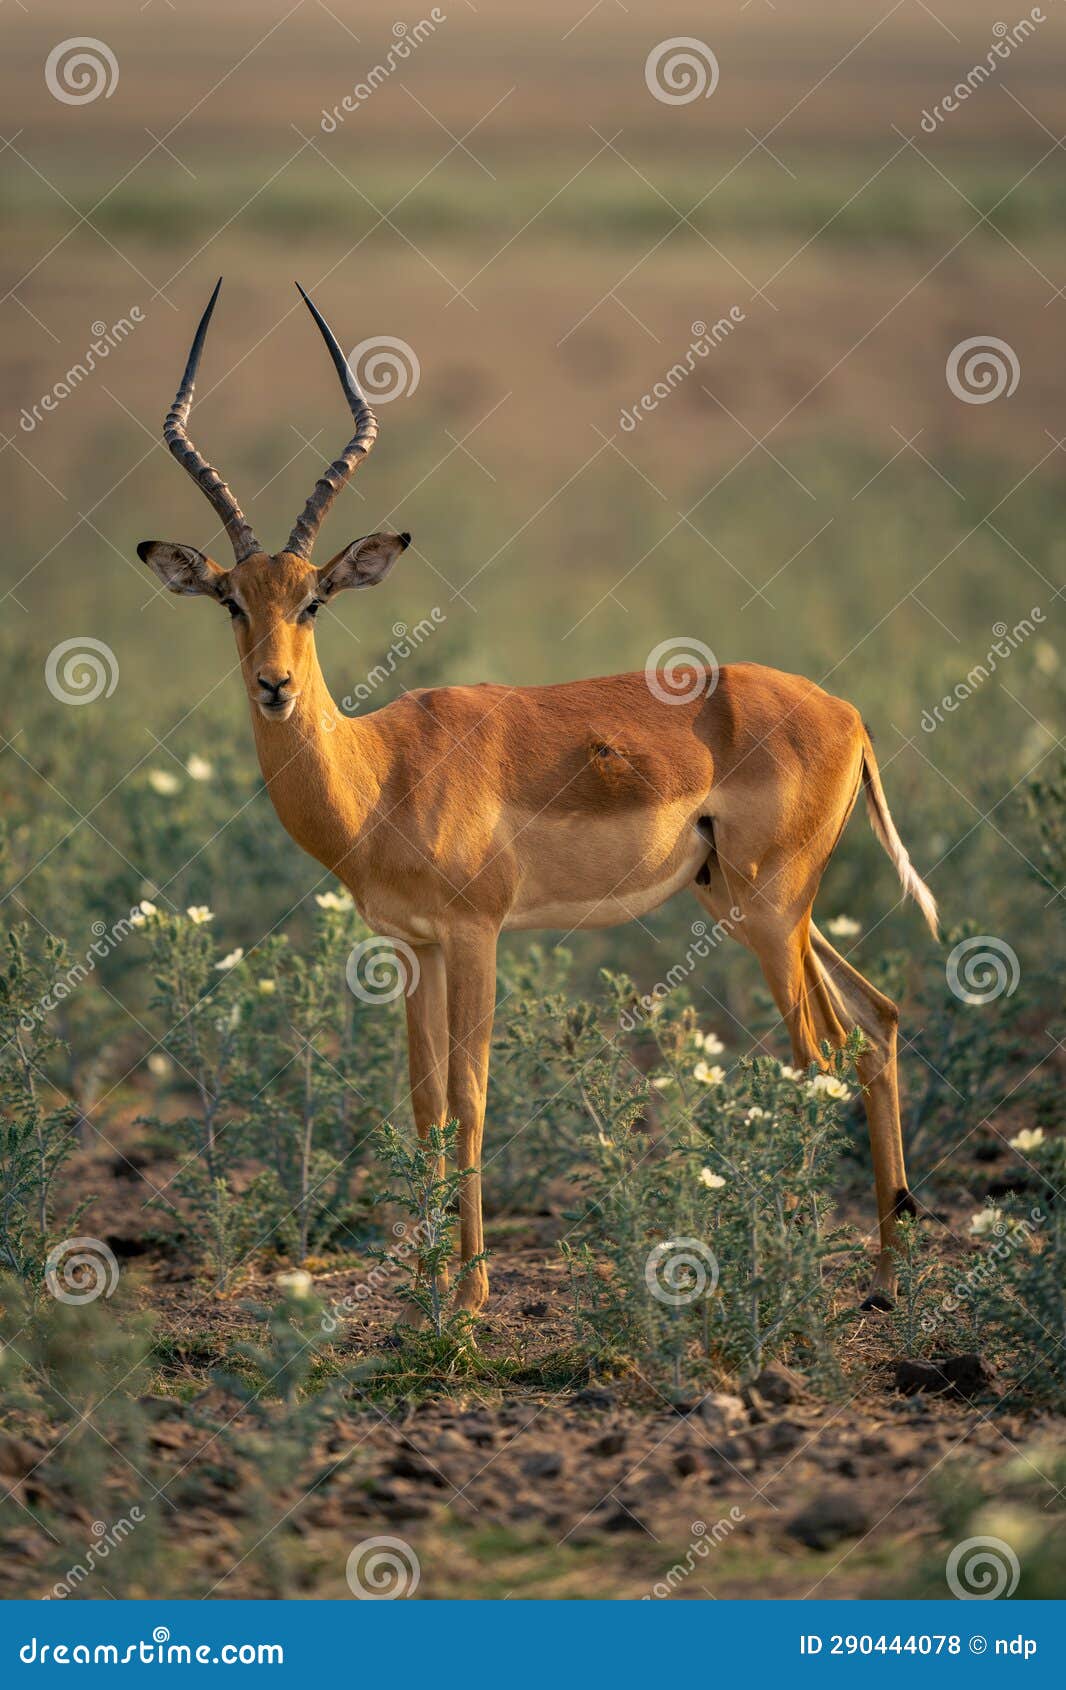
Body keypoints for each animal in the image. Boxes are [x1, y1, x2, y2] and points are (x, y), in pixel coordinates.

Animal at [138, 280, 939, 1315]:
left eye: (313, 599)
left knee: (821, 1057)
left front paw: (471, 1295)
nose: (274, 686)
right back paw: (883, 1277)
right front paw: (425, 1282)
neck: (380, 769)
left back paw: (799, 1277)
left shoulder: (478, 934)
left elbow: (473, 1096)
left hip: (769, 913)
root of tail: (849, 714)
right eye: (232, 599)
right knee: (877, 1028)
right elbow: (426, 1101)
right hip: (748, 903)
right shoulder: (414, 945)